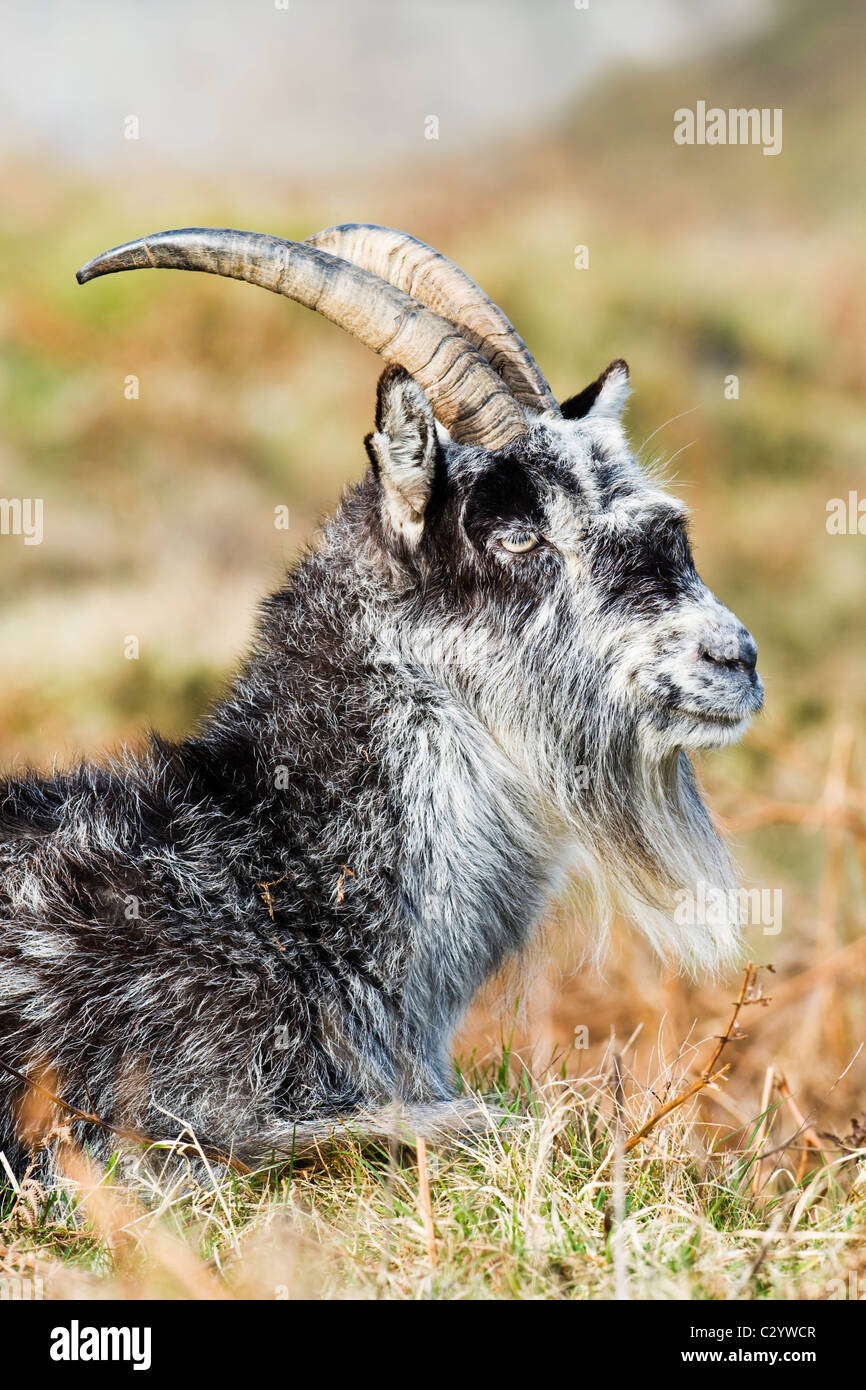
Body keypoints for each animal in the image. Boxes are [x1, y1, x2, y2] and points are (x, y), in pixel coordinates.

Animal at [0, 225, 762, 1174]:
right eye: (518, 535)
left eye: (665, 520)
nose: (733, 658)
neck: (272, 879)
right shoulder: (166, 1120)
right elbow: (471, 1119)